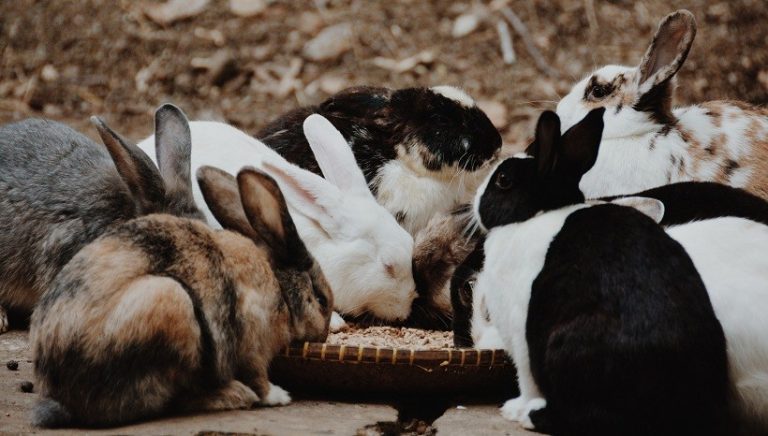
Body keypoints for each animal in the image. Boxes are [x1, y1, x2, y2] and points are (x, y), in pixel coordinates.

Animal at [31, 165, 333, 428]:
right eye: (321, 300)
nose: (323, 334)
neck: (279, 286)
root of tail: (63, 394)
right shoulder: (253, 343)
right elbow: (259, 377)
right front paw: (279, 396)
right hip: (173, 307)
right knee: (171, 400)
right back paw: (234, 395)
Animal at [471, 109, 730, 435]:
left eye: (503, 180)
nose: (474, 201)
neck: (536, 214)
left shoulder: (519, 331)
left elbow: (527, 379)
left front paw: (515, 407)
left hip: (566, 351)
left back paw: (528, 414)